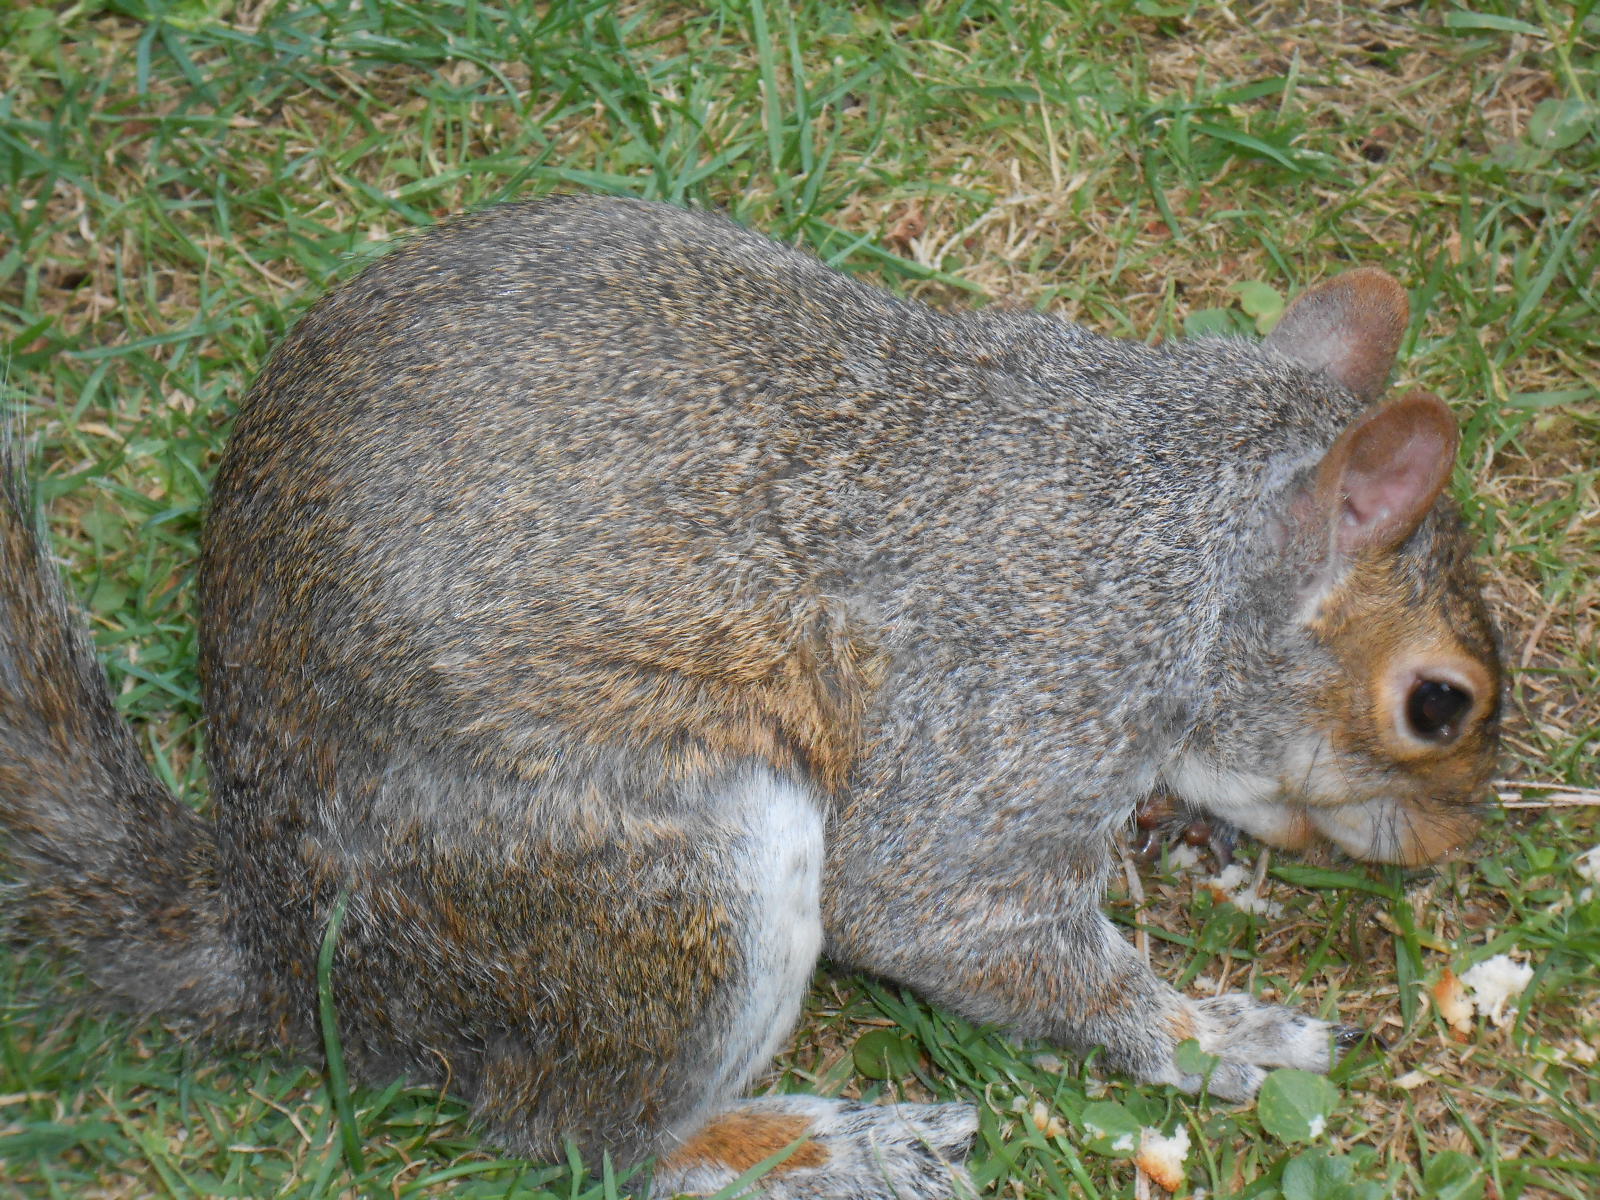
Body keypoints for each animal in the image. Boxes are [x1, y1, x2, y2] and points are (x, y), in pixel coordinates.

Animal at [1, 194, 1502, 1199]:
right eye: (1440, 704)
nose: (1456, 842)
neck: (1178, 530)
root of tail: (285, 955)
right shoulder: (1020, 693)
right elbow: (952, 917)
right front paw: (1212, 1031)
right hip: (671, 886)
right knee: (581, 1140)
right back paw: (816, 1144)